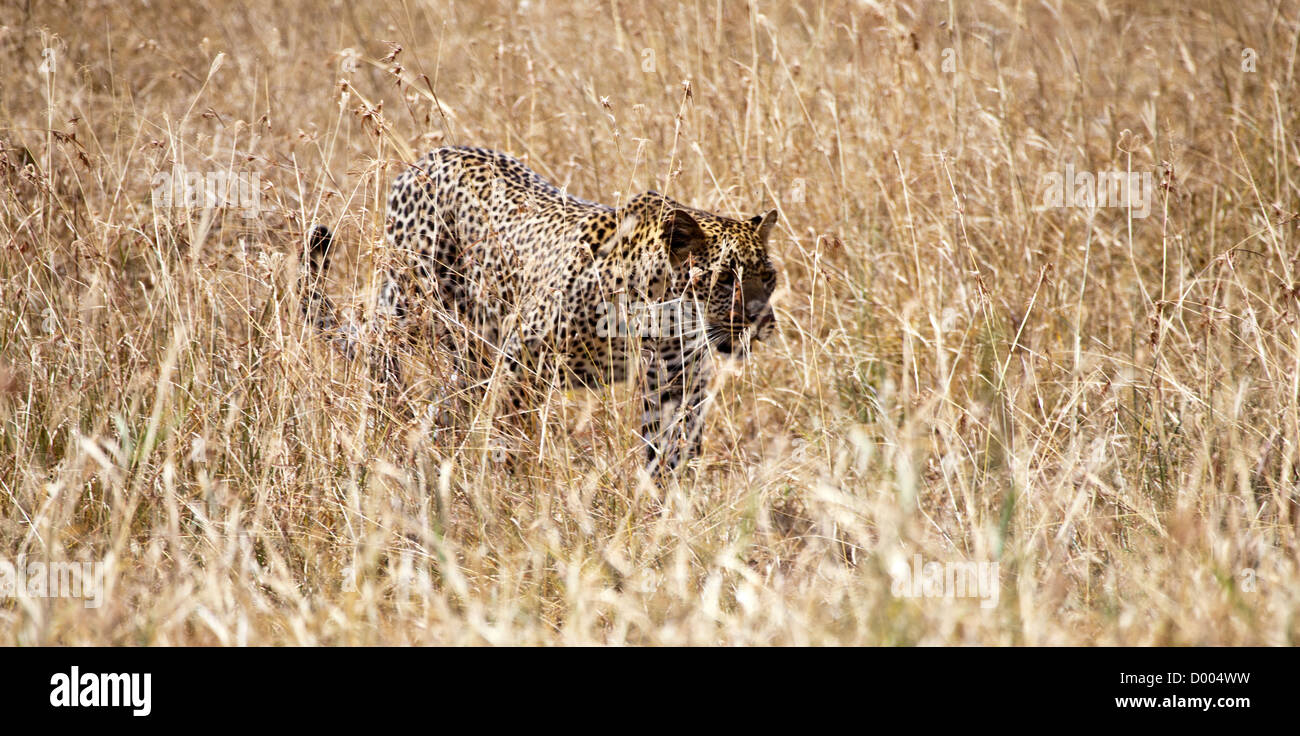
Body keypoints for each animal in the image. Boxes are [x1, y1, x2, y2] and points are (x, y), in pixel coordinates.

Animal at [302, 145, 779, 478]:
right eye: (724, 279)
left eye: (768, 277)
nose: (759, 319)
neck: (661, 315)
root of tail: (421, 162)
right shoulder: (522, 361)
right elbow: (512, 436)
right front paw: (506, 495)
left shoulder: (678, 385)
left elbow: (674, 450)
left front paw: (669, 513)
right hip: (412, 304)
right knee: (378, 351)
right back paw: (389, 417)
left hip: (472, 351)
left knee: (448, 401)